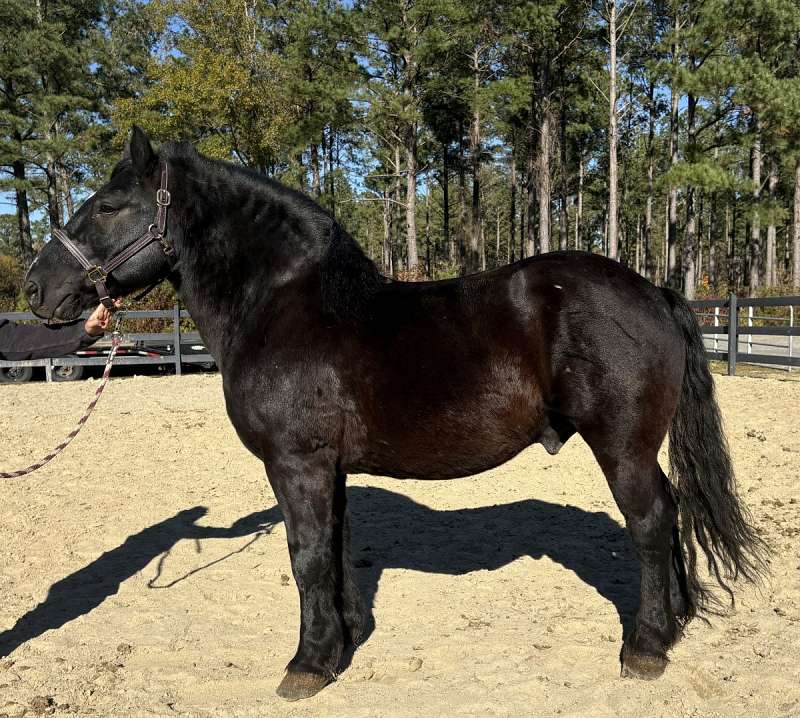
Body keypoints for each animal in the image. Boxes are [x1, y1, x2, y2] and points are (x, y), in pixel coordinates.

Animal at [24, 127, 766, 701]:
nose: (36, 288)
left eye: (109, 205)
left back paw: (646, 646)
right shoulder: (329, 468)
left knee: (651, 522)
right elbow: (335, 545)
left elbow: (306, 555)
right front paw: (345, 641)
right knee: (670, 513)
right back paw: (676, 619)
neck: (285, 304)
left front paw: (307, 663)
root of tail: (653, 290)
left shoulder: (297, 464)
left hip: (623, 447)